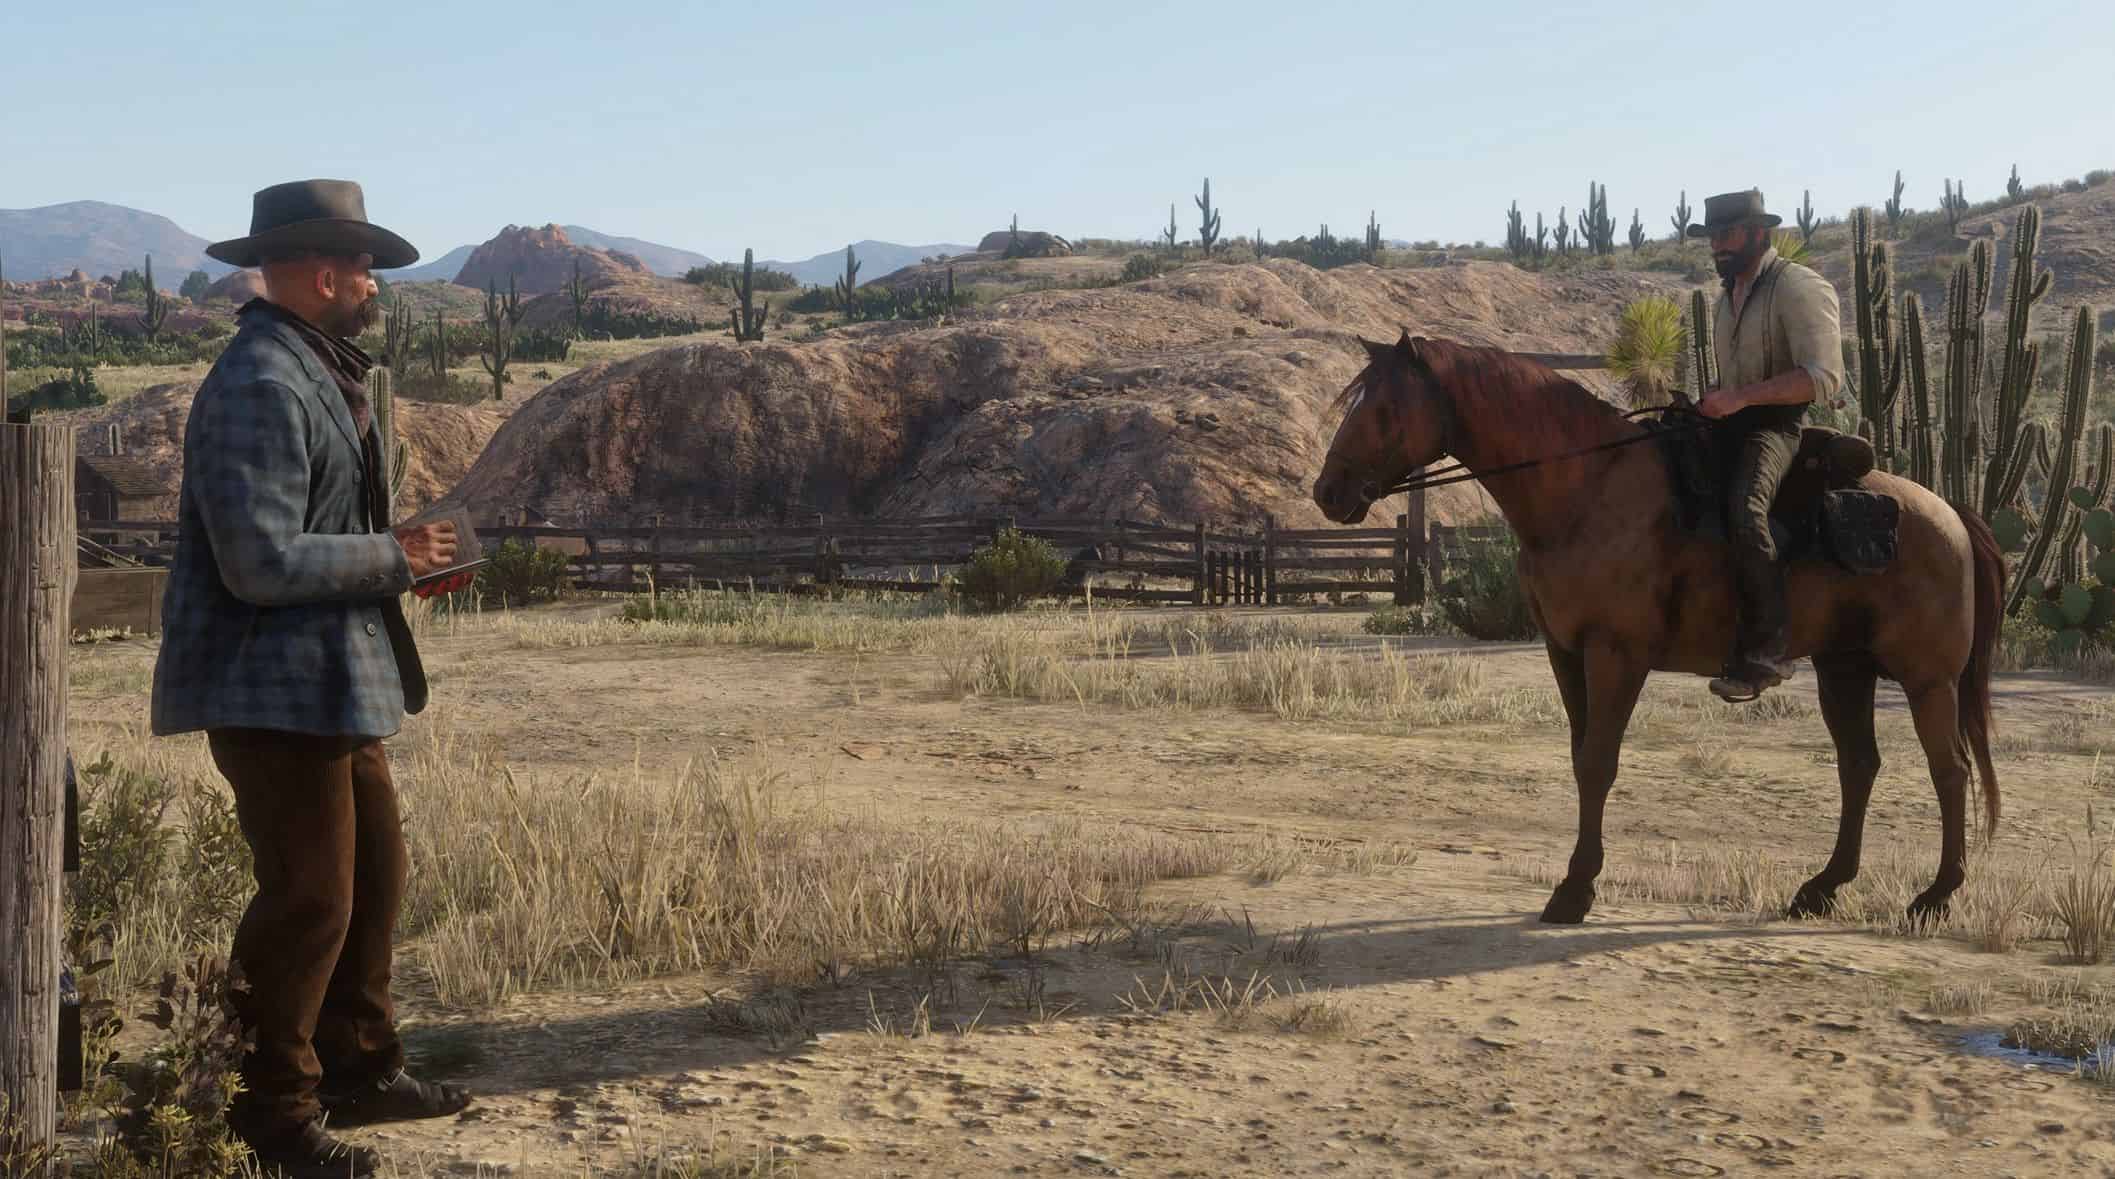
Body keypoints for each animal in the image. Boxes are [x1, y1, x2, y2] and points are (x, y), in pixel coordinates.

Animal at [1312, 331, 2003, 925]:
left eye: (1384, 408)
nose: (1327, 491)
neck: (1585, 489)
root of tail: (1947, 511)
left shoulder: (1615, 653)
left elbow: (1598, 763)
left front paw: (1575, 889)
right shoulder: (1565, 652)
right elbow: (1580, 757)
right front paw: (1577, 879)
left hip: (1926, 679)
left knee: (1949, 770)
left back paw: (1937, 894)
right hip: (1844, 669)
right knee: (1859, 765)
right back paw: (1823, 887)